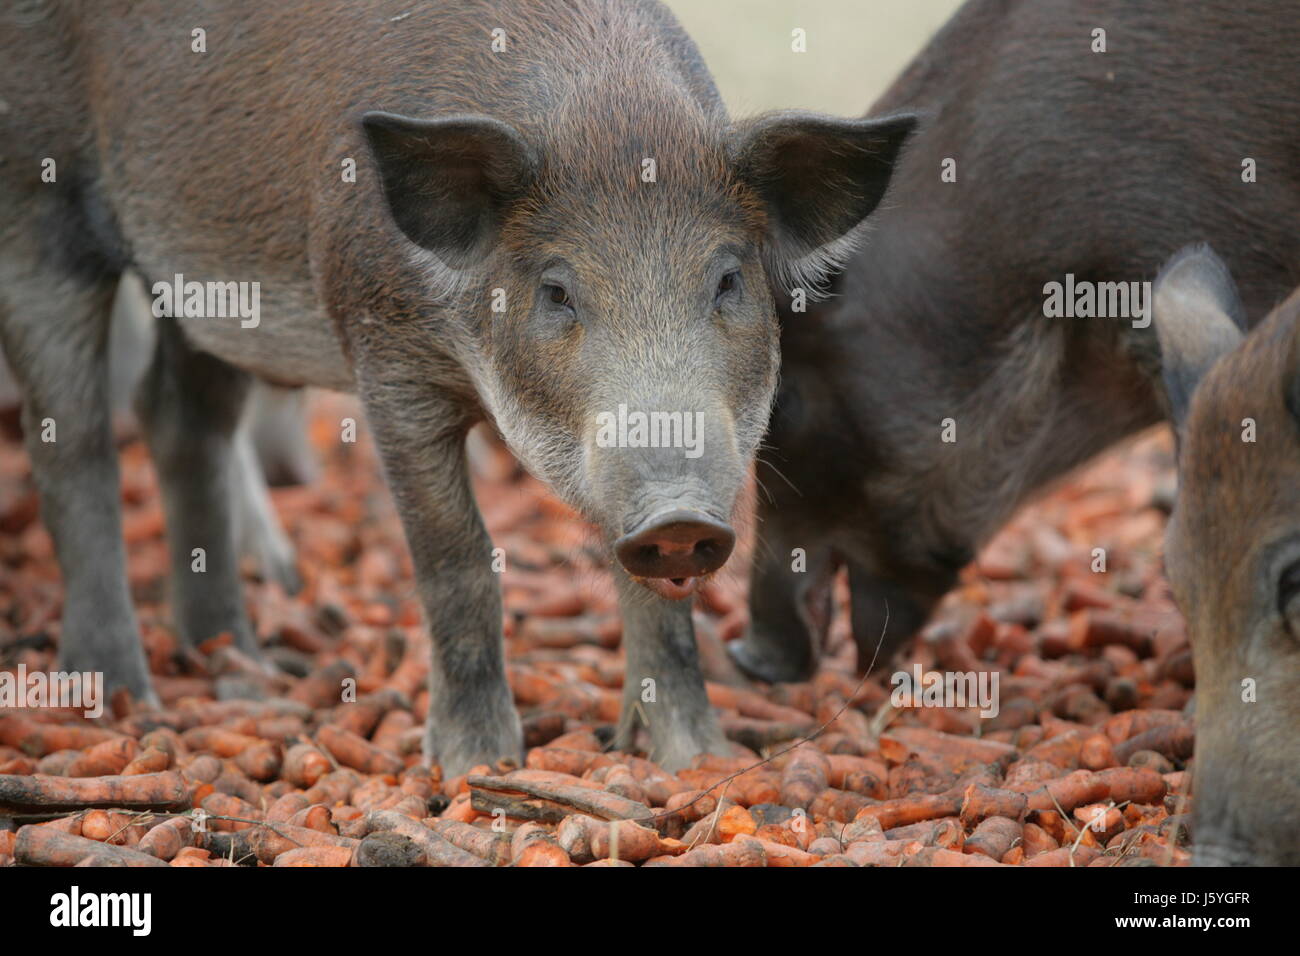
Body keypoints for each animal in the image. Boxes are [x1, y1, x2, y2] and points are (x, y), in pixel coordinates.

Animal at [0, 0, 914, 772]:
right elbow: (456, 555)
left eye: (727, 280)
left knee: (178, 417)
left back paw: (239, 660)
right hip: (38, 200)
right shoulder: (384, 357)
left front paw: (694, 761)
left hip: (204, 292)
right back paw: (116, 693)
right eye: (556, 290)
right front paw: (475, 767)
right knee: (75, 441)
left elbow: (653, 594)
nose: (680, 516)